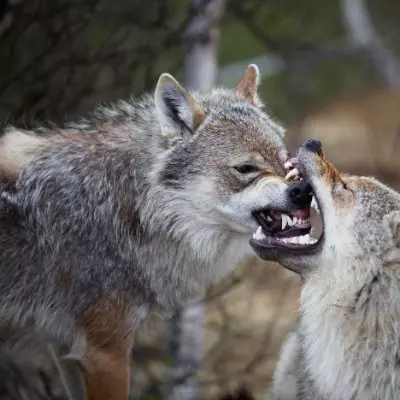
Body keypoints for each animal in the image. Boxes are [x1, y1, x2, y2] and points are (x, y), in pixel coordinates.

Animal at [0, 64, 310, 398]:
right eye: (245, 169)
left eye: (284, 162)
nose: (303, 190)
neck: (130, 207)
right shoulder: (104, 351)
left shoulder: (66, 349)